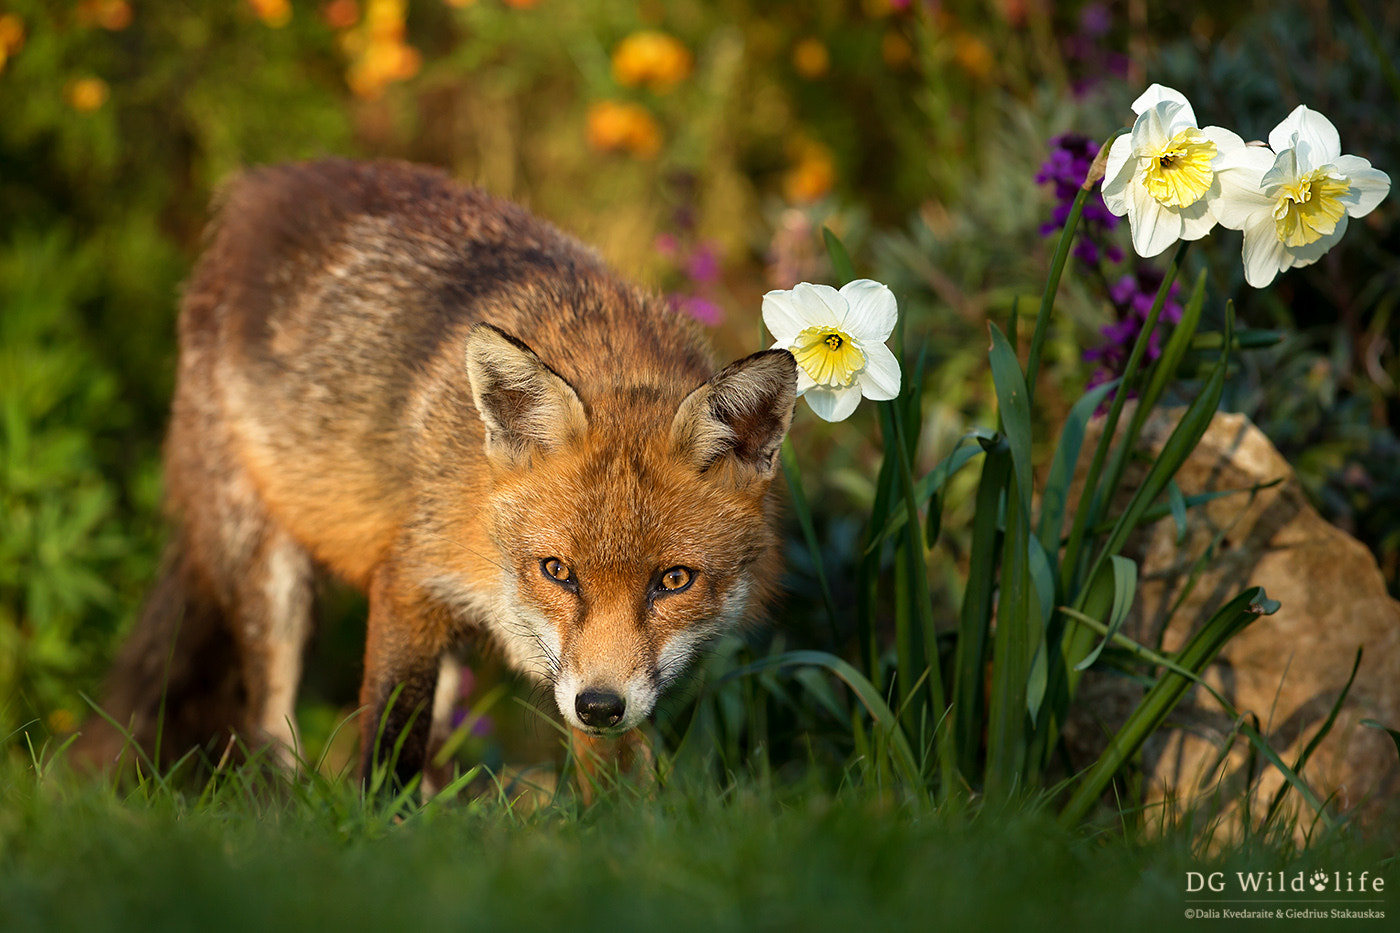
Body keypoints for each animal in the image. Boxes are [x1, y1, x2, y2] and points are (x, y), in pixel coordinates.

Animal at [75, 158, 797, 793]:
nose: (599, 705)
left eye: (673, 581)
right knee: (265, 736)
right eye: (557, 571)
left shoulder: (580, 675)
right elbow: (390, 739)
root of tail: (254, 190)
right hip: (269, 582)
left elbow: (615, 780)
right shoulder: (409, 579)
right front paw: (373, 828)